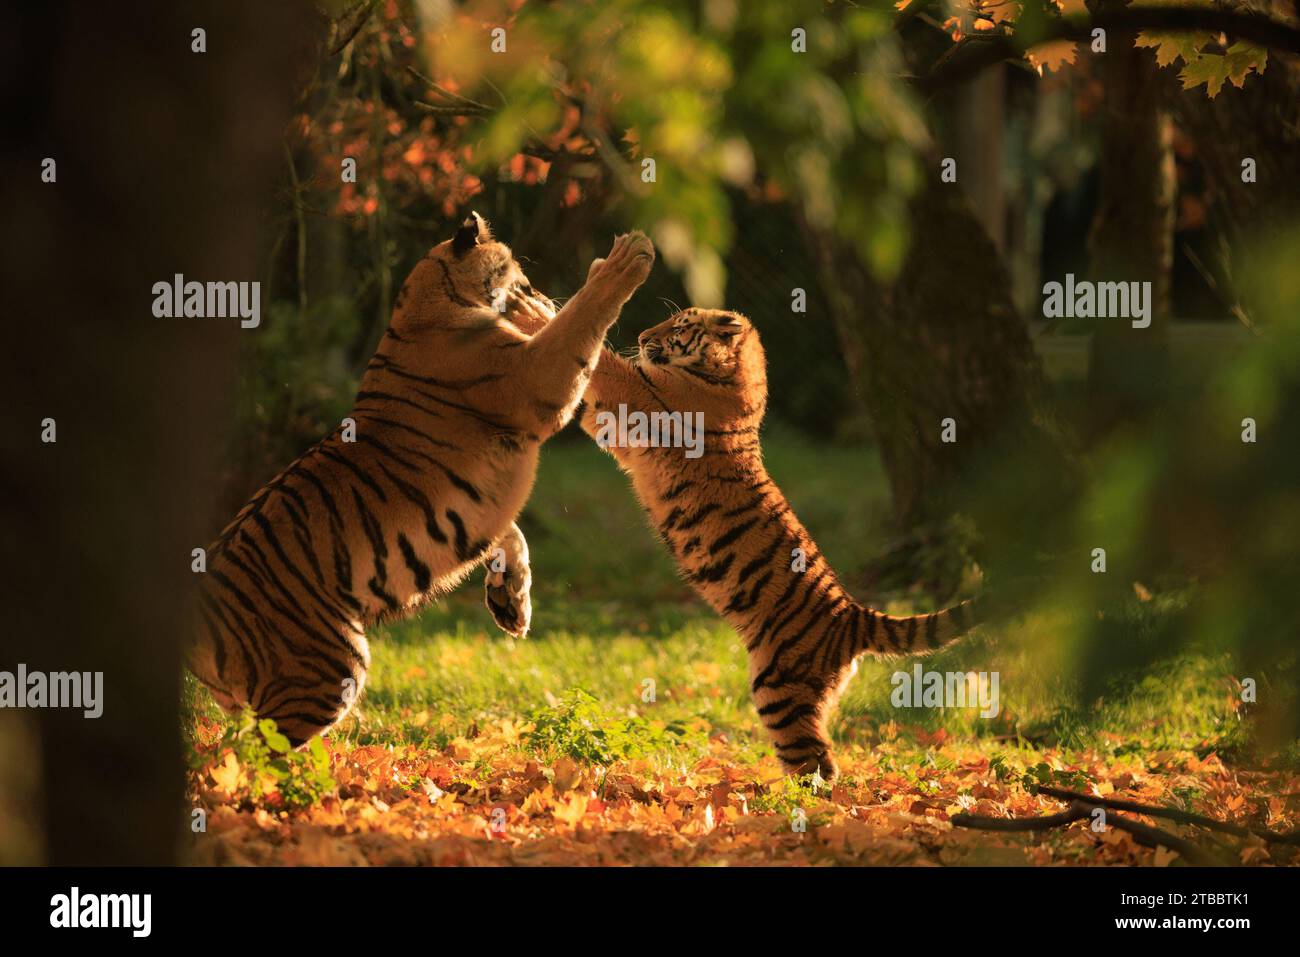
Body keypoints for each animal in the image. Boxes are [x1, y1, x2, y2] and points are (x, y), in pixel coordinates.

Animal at [187, 213, 655, 745]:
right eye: (522, 278)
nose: (537, 294)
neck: (429, 296)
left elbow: (511, 533)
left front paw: (511, 601)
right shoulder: (536, 376)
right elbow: (579, 318)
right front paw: (626, 257)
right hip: (330, 665)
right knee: (251, 752)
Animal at [579, 307, 983, 779]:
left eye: (678, 328)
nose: (643, 338)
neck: (735, 379)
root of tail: (853, 617)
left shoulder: (644, 397)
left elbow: (605, 366)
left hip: (779, 690)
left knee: (817, 765)